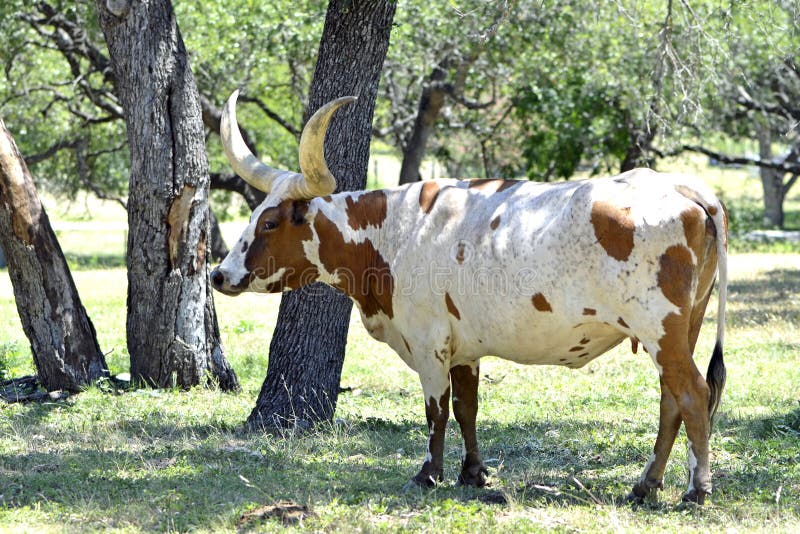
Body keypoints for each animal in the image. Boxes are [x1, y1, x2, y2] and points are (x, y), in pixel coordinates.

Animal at [210, 91, 728, 505]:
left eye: (269, 223)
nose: (219, 274)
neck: (392, 231)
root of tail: (685, 187)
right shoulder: (464, 346)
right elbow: (466, 407)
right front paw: (472, 473)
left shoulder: (428, 341)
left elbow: (435, 410)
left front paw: (428, 473)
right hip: (683, 327)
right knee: (671, 400)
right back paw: (646, 484)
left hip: (662, 329)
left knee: (693, 393)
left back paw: (695, 490)